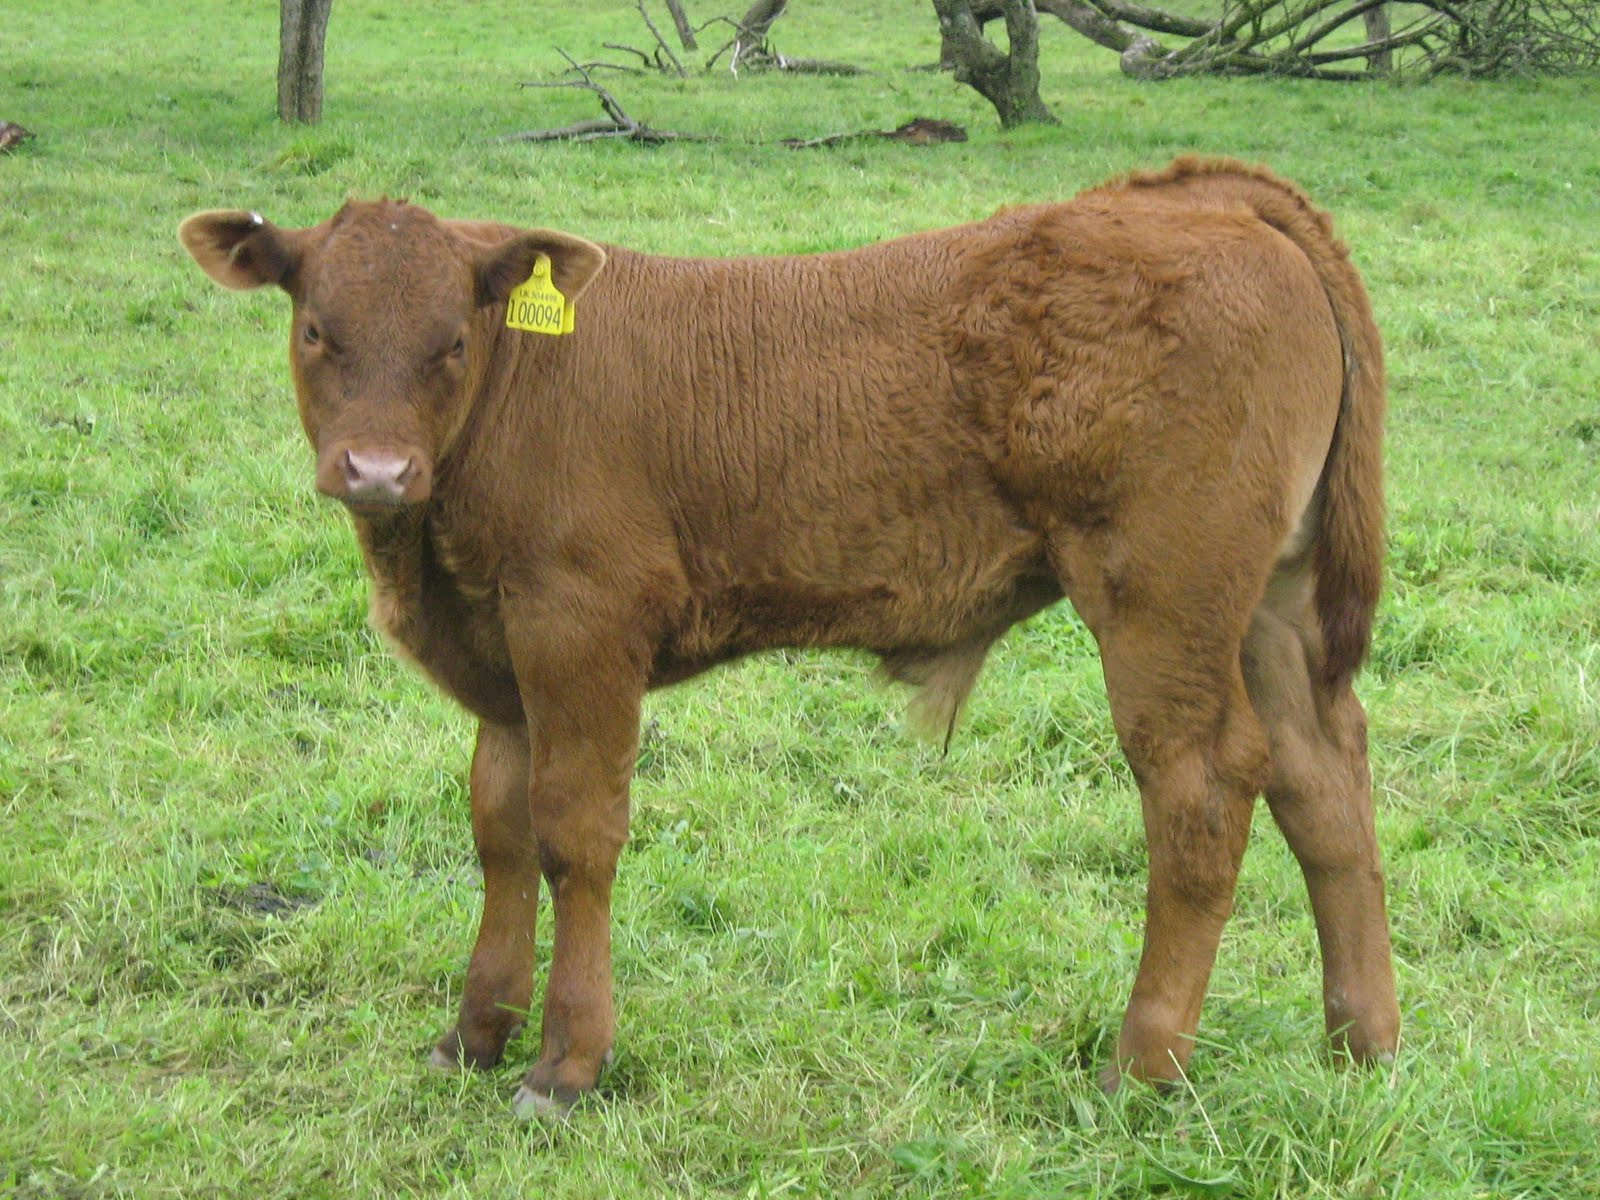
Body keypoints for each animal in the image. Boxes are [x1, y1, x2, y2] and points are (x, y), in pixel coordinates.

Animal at [179, 157, 1400, 1117]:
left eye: (448, 341)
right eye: (316, 329)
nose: (378, 471)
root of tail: (1199, 198)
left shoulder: (581, 625)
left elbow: (574, 833)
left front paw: (565, 1064)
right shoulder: (503, 651)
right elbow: (498, 828)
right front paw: (475, 1034)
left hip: (1161, 594)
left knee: (1200, 789)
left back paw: (1140, 1067)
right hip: (1271, 602)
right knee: (1320, 777)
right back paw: (1362, 1047)